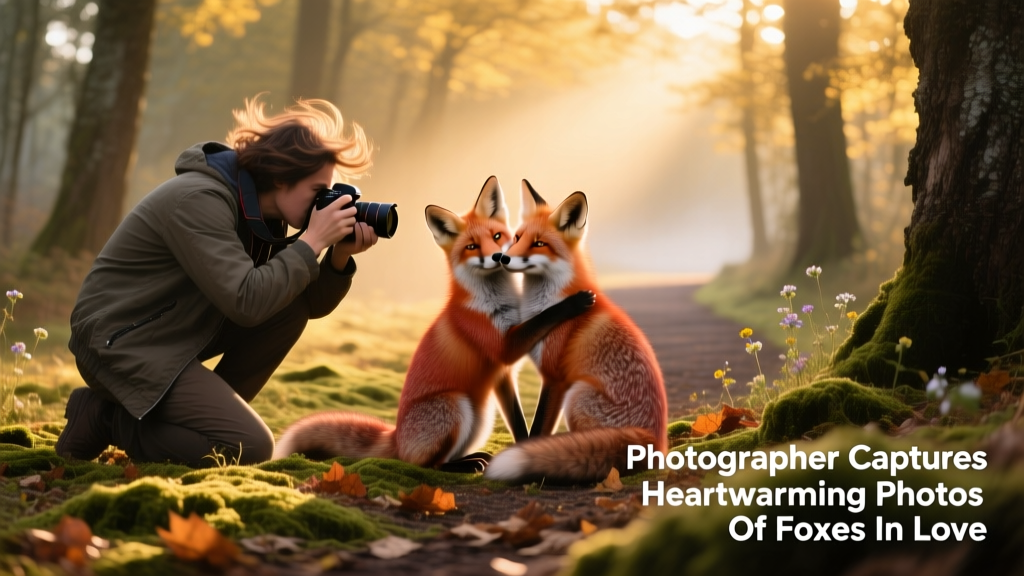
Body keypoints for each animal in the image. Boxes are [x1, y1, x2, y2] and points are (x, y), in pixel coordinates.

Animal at [272, 176, 595, 472]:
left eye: (498, 236)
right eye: (471, 246)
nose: (497, 256)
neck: (501, 307)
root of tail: (397, 438)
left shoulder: (503, 374)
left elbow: (517, 419)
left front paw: (524, 447)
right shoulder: (502, 347)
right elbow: (543, 317)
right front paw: (574, 303)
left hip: (481, 416)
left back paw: (472, 458)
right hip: (456, 406)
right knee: (427, 465)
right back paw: (465, 465)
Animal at [483, 180, 668, 484]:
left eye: (539, 244)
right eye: (518, 237)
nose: (504, 258)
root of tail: (656, 444)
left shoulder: (555, 377)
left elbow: (539, 429)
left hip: (576, 396)